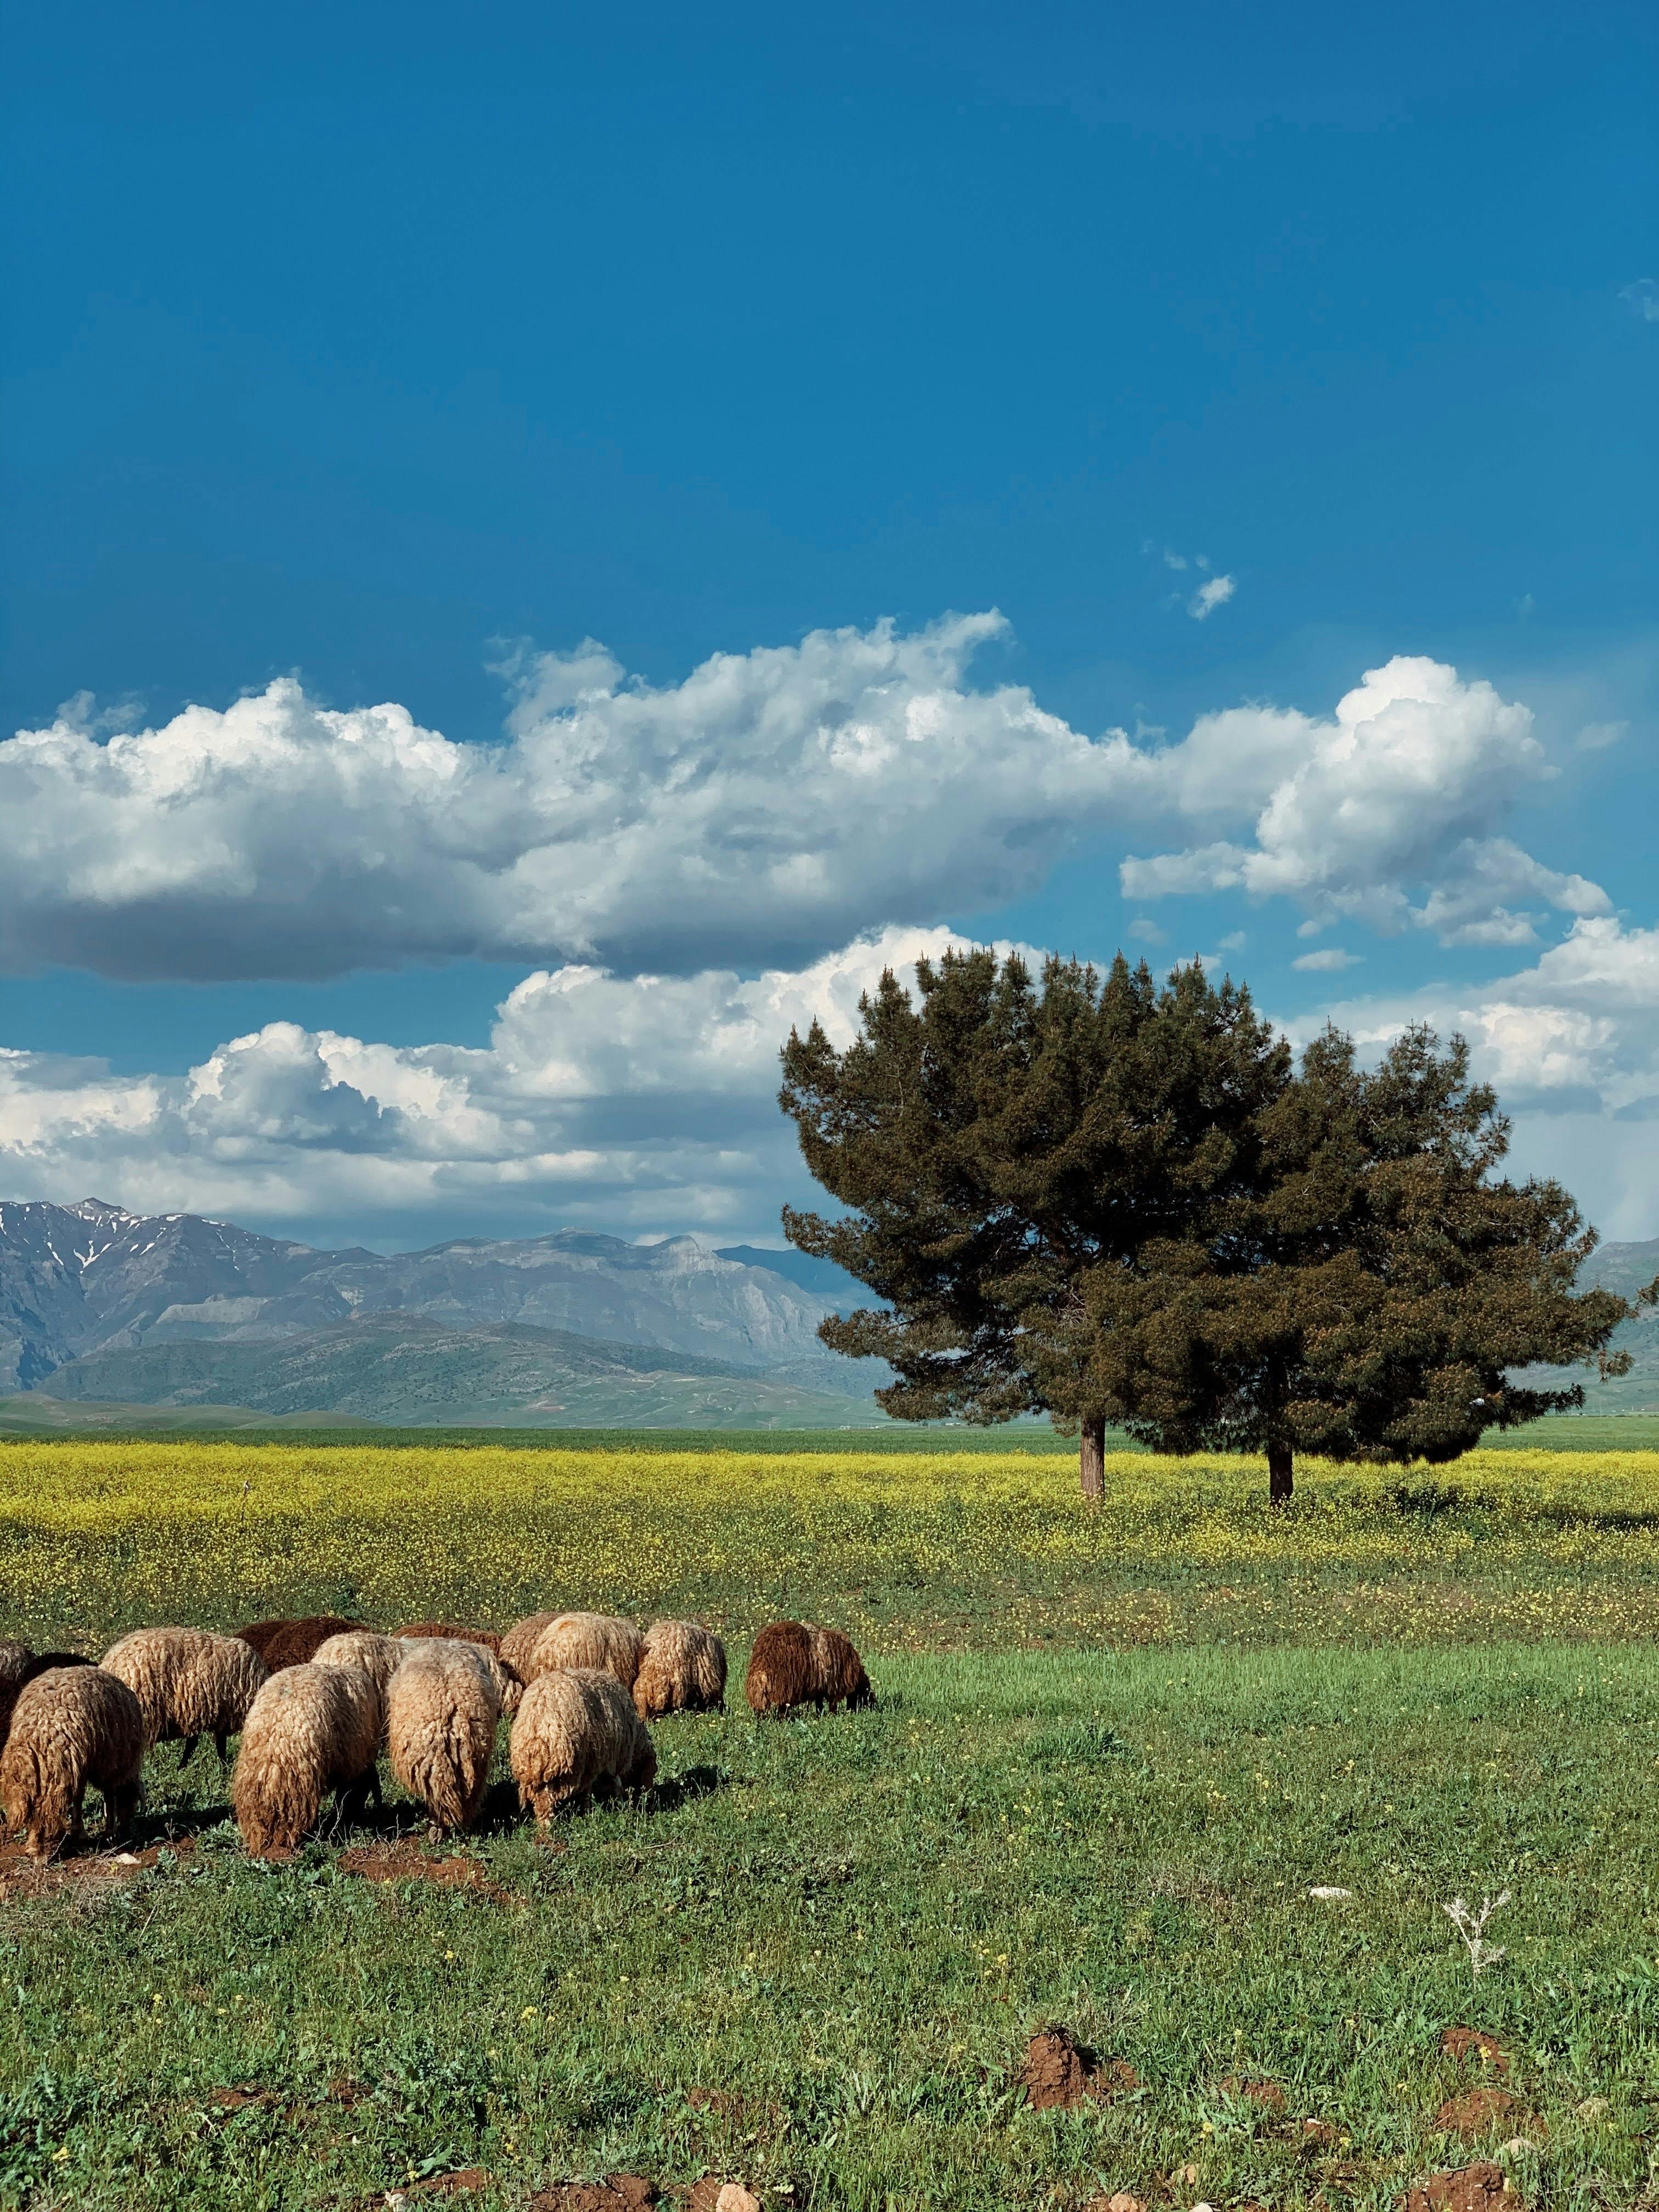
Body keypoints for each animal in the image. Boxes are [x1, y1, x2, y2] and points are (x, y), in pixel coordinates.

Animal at [0, 1665, 145, 1859]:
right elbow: (108, 1797)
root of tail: (36, 1730)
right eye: (133, 1801)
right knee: (43, 1810)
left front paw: (79, 1831)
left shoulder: (82, 1764)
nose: (128, 1830)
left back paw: (33, 1845)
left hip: (37, 1772)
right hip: (55, 1772)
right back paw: (39, 1852)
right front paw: (110, 1831)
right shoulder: (108, 1764)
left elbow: (79, 1796)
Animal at [510, 1665, 655, 1828]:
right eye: (652, 1772)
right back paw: (549, 1827)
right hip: (566, 1768)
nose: (649, 1800)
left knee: (541, 1802)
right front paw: (602, 1807)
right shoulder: (608, 1759)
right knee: (546, 1802)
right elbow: (608, 1785)